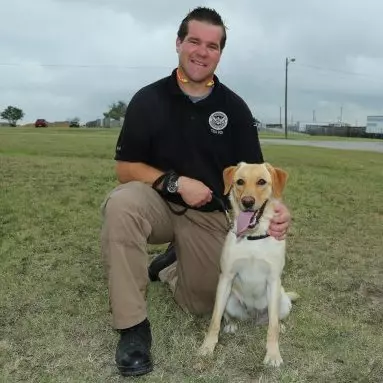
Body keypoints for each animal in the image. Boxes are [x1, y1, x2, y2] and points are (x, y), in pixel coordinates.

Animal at [200, 161, 298, 366]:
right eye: (240, 182)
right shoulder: (226, 278)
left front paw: (273, 354)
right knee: (228, 315)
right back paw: (231, 325)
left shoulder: (273, 280)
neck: (253, 236)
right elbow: (215, 319)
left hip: (282, 301)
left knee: (273, 321)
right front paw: (208, 346)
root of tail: (254, 317)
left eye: (261, 181)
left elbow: (273, 326)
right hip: (230, 299)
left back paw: (281, 327)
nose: (247, 202)